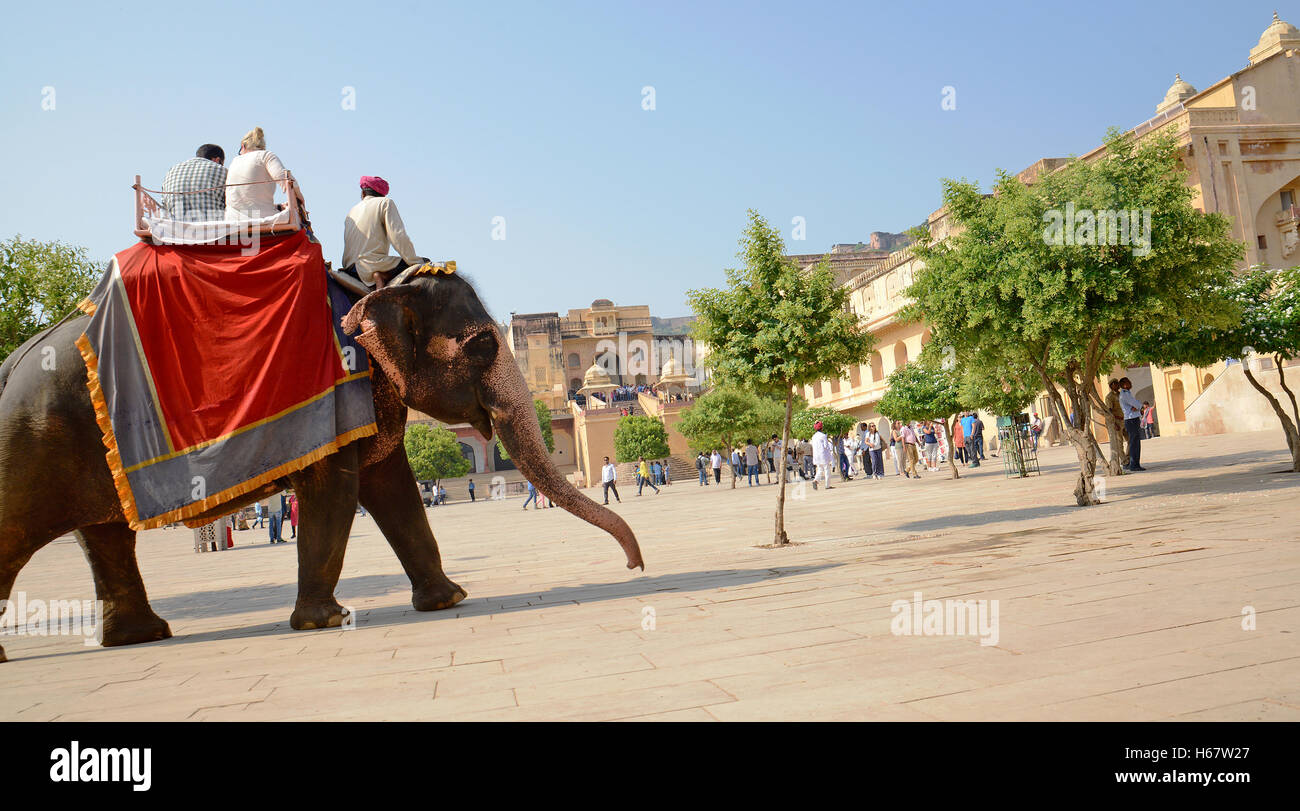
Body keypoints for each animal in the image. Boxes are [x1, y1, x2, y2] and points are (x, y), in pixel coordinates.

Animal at [0, 270, 643, 663]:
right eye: (483, 344)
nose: (636, 567)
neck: (369, 288)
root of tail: (12, 362)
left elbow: (393, 486)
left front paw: (449, 600)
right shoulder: (335, 394)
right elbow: (334, 490)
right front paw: (326, 621)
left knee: (105, 534)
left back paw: (141, 637)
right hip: (35, 444)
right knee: (22, 531)